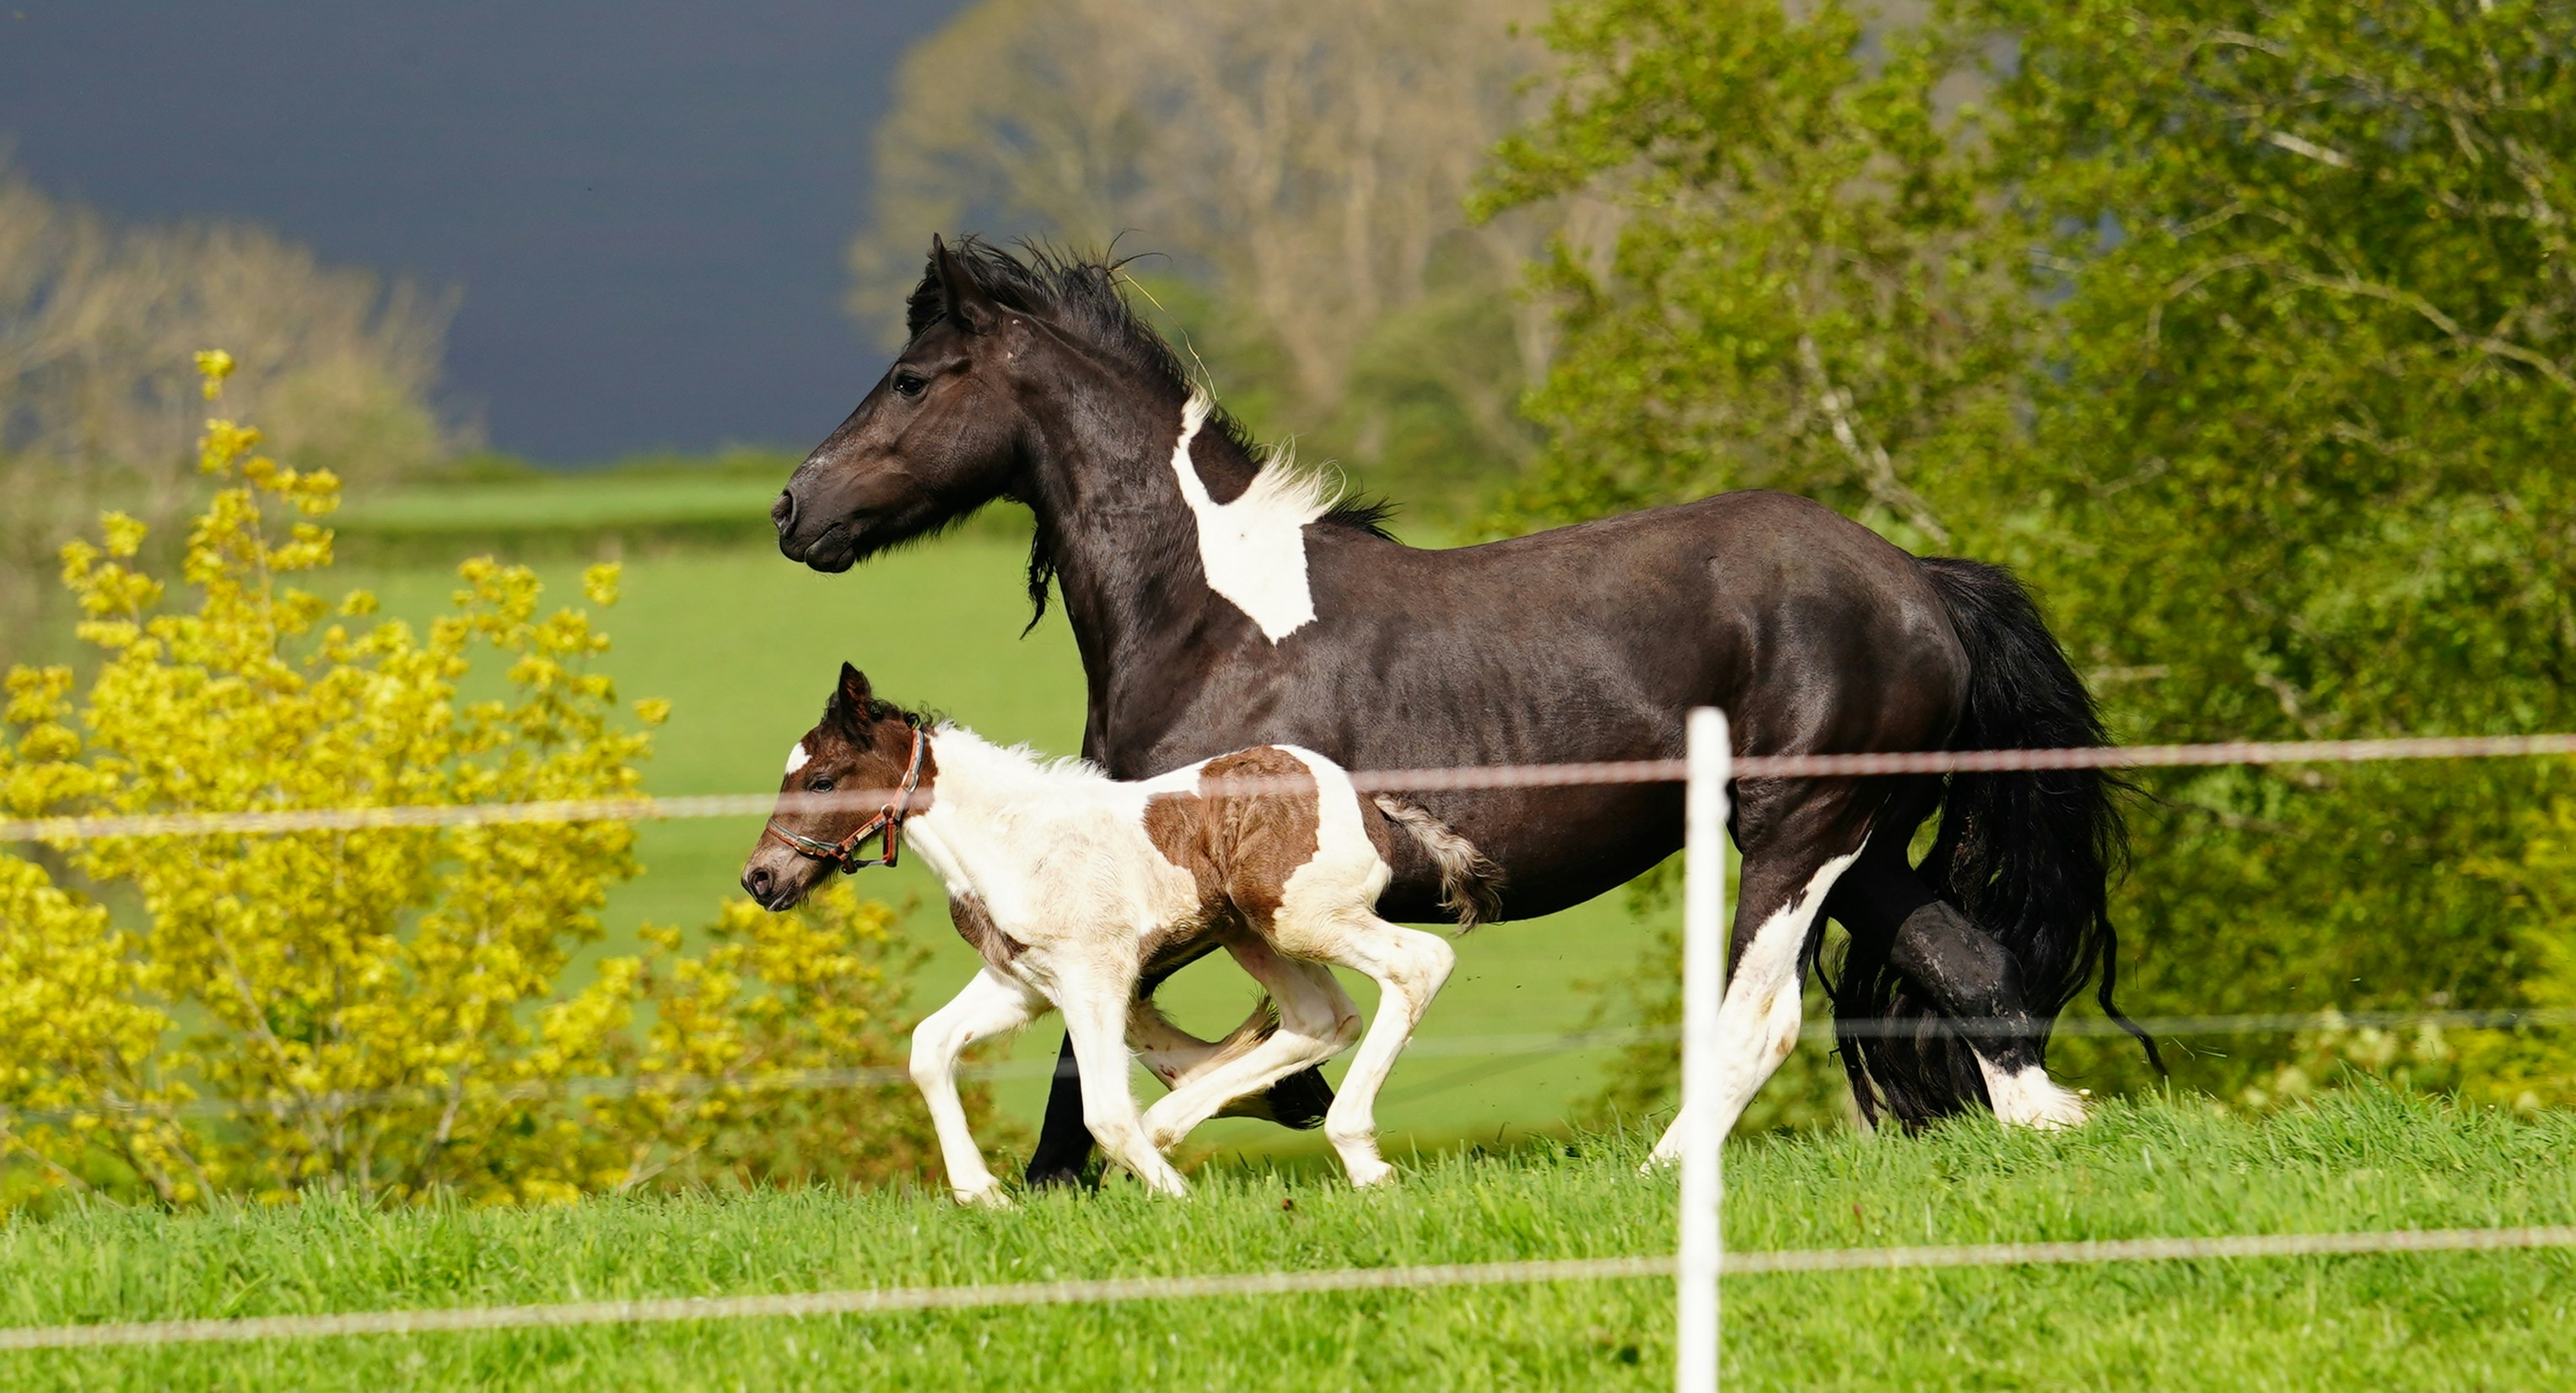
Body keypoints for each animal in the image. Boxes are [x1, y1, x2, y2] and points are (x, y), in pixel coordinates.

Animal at [740, 662, 1462, 1201]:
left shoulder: (1094, 978)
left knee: (1419, 963)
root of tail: (1364, 798)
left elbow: (1105, 1111)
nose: (761, 879)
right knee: (1321, 1018)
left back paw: (1353, 1147)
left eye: (822, 780)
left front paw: (1178, 1200)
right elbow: (929, 1047)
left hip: (1306, 921)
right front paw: (983, 1193)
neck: (1014, 842)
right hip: (1254, 936)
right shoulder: (1023, 984)